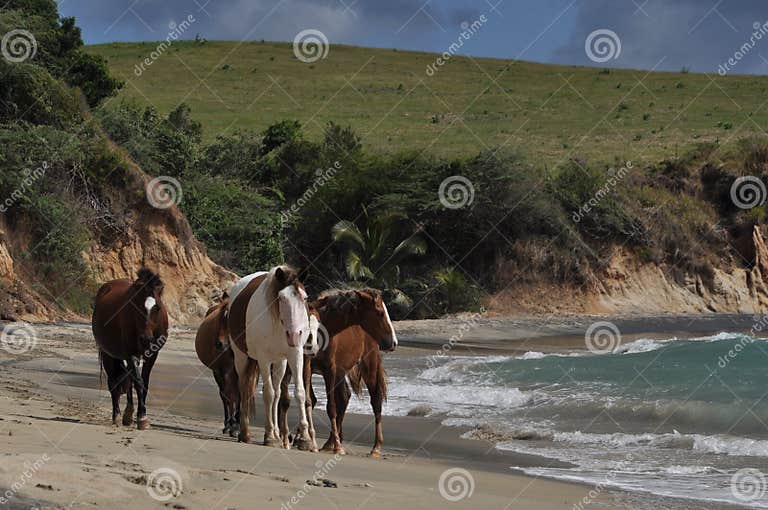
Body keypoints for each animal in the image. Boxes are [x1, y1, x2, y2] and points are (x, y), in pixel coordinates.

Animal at [92, 268, 169, 430]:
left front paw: (140, 415)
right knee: (113, 382)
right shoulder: (131, 354)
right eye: (135, 306)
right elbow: (138, 382)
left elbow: (144, 383)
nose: (146, 339)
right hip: (109, 354)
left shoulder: (152, 355)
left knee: (127, 379)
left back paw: (128, 413)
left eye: (157, 307)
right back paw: (117, 415)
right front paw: (141, 417)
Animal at [194, 291, 242, 437]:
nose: (220, 344)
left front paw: (237, 426)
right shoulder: (223, 371)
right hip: (218, 373)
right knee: (224, 395)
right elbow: (228, 395)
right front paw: (231, 425)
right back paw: (228, 424)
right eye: (220, 319)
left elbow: (240, 395)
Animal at [227, 266, 317, 449]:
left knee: (277, 393)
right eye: (281, 298)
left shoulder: (295, 355)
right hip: (241, 357)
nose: (295, 335)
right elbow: (268, 393)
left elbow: (299, 392)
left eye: (304, 298)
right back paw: (245, 432)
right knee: (244, 389)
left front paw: (304, 438)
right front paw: (269, 436)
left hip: (280, 362)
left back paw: (276, 432)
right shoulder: (263, 359)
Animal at [279, 288, 397, 457]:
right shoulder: (306, 365)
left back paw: (375, 447)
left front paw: (335, 446)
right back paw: (330, 441)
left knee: (375, 401)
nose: (393, 342)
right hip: (341, 371)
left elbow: (330, 407)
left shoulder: (329, 368)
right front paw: (298, 438)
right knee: (344, 397)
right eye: (380, 313)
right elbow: (307, 399)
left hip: (369, 365)